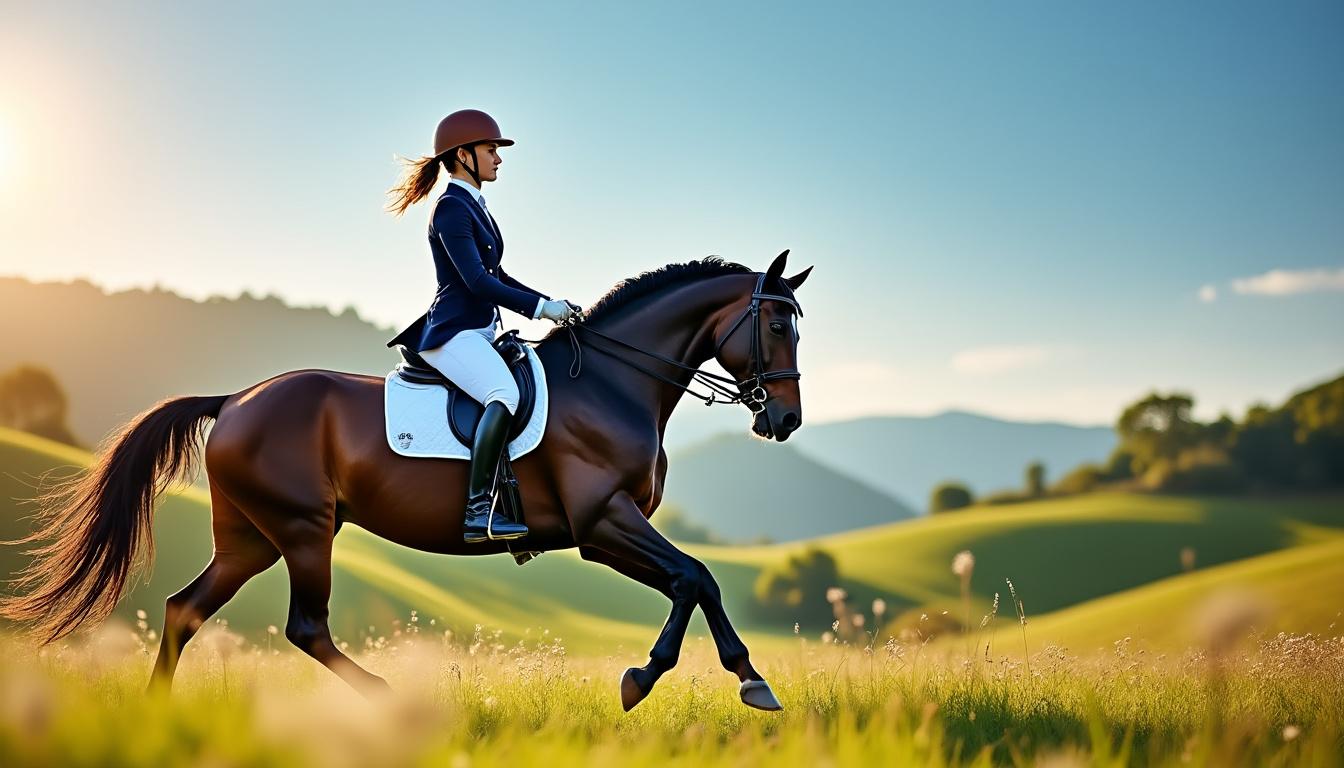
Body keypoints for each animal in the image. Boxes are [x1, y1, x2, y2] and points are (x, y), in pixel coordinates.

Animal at [0, 250, 811, 712]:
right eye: (777, 327)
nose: (785, 420)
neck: (613, 381)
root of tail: (235, 400)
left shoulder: (609, 529)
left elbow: (691, 582)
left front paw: (722, 677)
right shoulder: (602, 522)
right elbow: (696, 577)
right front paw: (688, 680)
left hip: (251, 538)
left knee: (183, 611)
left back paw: (157, 711)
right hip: (303, 530)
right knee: (303, 627)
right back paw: (390, 701)